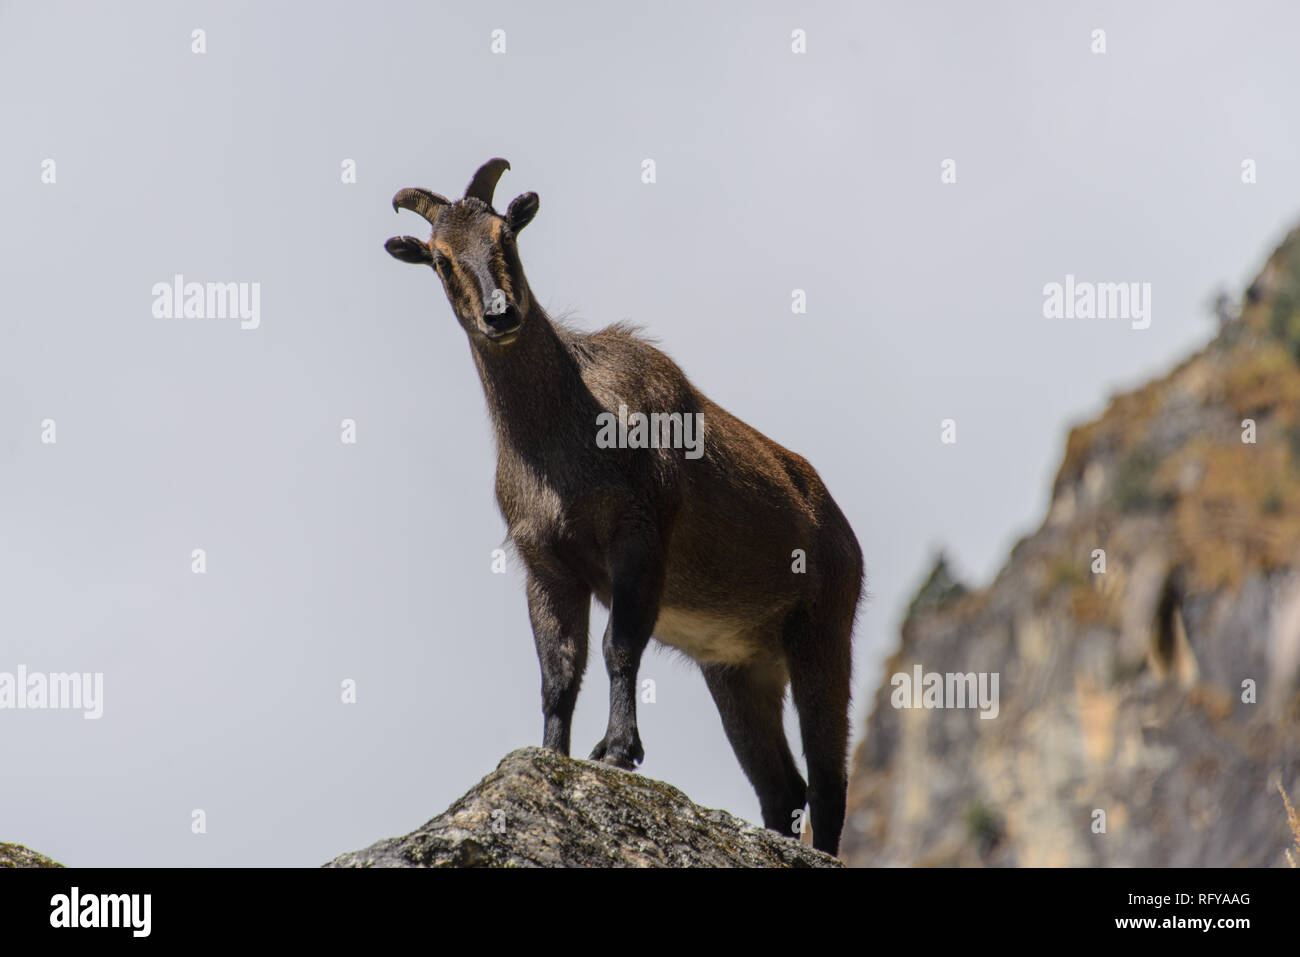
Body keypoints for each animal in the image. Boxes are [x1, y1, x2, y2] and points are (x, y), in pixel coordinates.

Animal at [385, 159, 864, 855]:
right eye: (441, 259)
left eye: (506, 235)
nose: (501, 315)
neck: (563, 435)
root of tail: (843, 531)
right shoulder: (546, 563)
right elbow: (558, 674)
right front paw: (553, 756)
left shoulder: (637, 534)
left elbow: (620, 645)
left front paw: (617, 751)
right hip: (738, 669)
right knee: (782, 787)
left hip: (822, 628)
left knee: (828, 780)